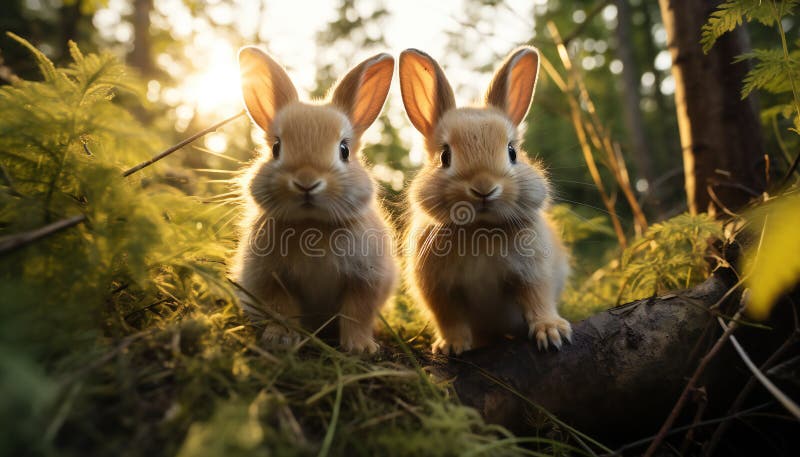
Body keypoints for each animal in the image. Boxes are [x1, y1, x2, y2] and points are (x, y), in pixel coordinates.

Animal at [231, 47, 397, 353]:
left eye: (344, 150)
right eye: (276, 148)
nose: (306, 182)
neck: (313, 225)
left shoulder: (366, 280)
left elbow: (357, 314)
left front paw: (359, 347)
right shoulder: (271, 280)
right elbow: (282, 310)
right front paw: (281, 339)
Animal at [398, 46, 572, 355]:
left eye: (512, 152)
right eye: (445, 156)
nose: (483, 188)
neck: (480, 229)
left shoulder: (534, 274)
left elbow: (538, 300)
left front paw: (551, 332)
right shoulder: (438, 290)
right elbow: (449, 317)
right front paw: (451, 345)